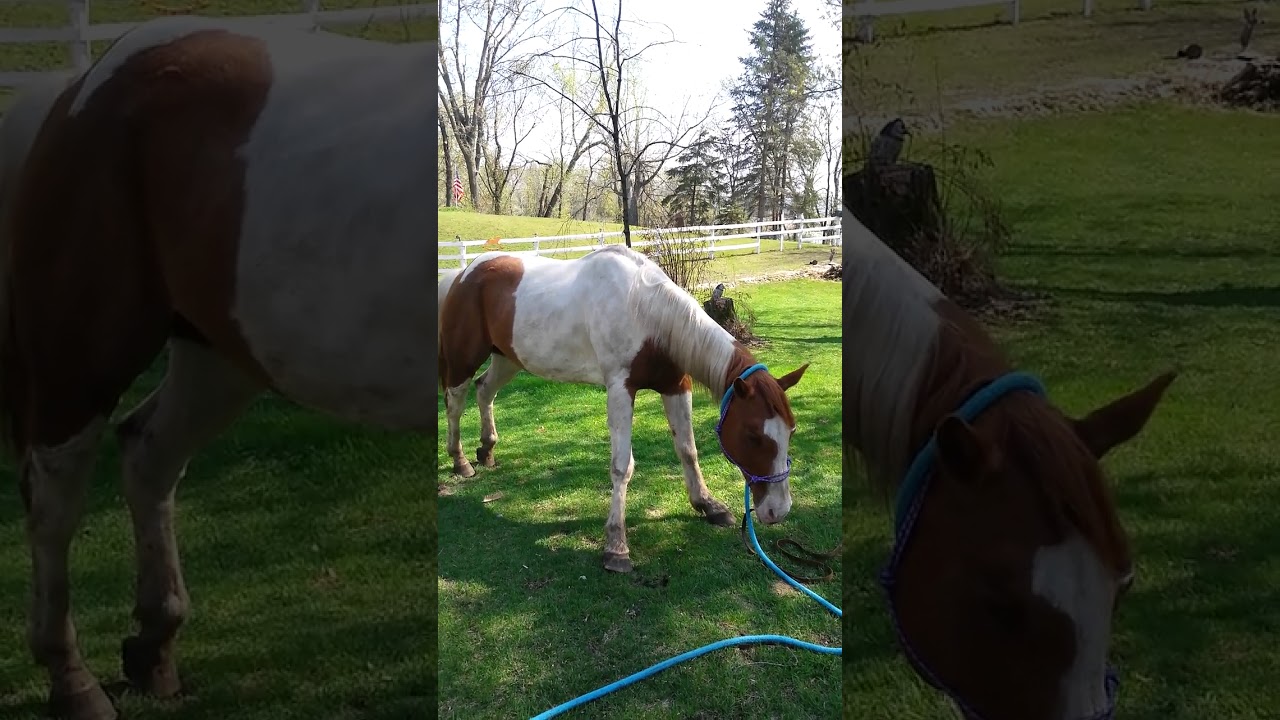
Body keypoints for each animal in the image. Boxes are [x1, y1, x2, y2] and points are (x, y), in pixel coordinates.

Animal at [0, 16, 430, 720]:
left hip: (219, 356)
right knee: (54, 498)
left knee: (148, 455)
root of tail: (78, 90)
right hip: (83, 352)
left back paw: (154, 646)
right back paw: (74, 682)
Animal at [437, 246, 809, 573]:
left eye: (791, 431)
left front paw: (708, 504)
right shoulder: (620, 389)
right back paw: (460, 461)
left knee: (485, 390)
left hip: (508, 358)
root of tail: (463, 274)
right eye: (753, 435)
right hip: (464, 357)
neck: (645, 313)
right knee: (455, 402)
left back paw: (487, 450)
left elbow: (687, 449)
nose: (778, 510)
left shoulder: (676, 386)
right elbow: (621, 467)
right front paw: (616, 547)